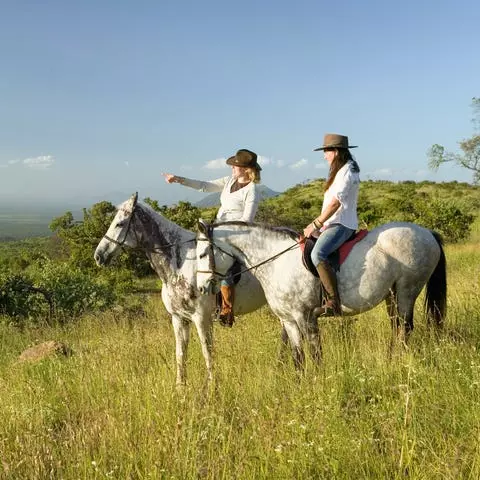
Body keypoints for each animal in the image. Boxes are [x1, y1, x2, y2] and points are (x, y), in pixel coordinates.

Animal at [94, 193, 266, 384]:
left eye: (120, 223)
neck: (179, 264)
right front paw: (180, 386)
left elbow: (207, 353)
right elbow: (180, 354)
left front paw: (212, 386)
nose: (98, 256)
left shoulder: (201, 318)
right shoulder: (179, 318)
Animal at [195, 221, 446, 368]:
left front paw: (318, 384)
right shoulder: (289, 320)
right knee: (396, 327)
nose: (202, 288)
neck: (276, 261)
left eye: (202, 254)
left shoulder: (305, 317)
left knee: (406, 327)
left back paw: (399, 361)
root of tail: (427, 232)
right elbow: (297, 357)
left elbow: (315, 354)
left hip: (407, 290)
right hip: (391, 294)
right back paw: (390, 361)